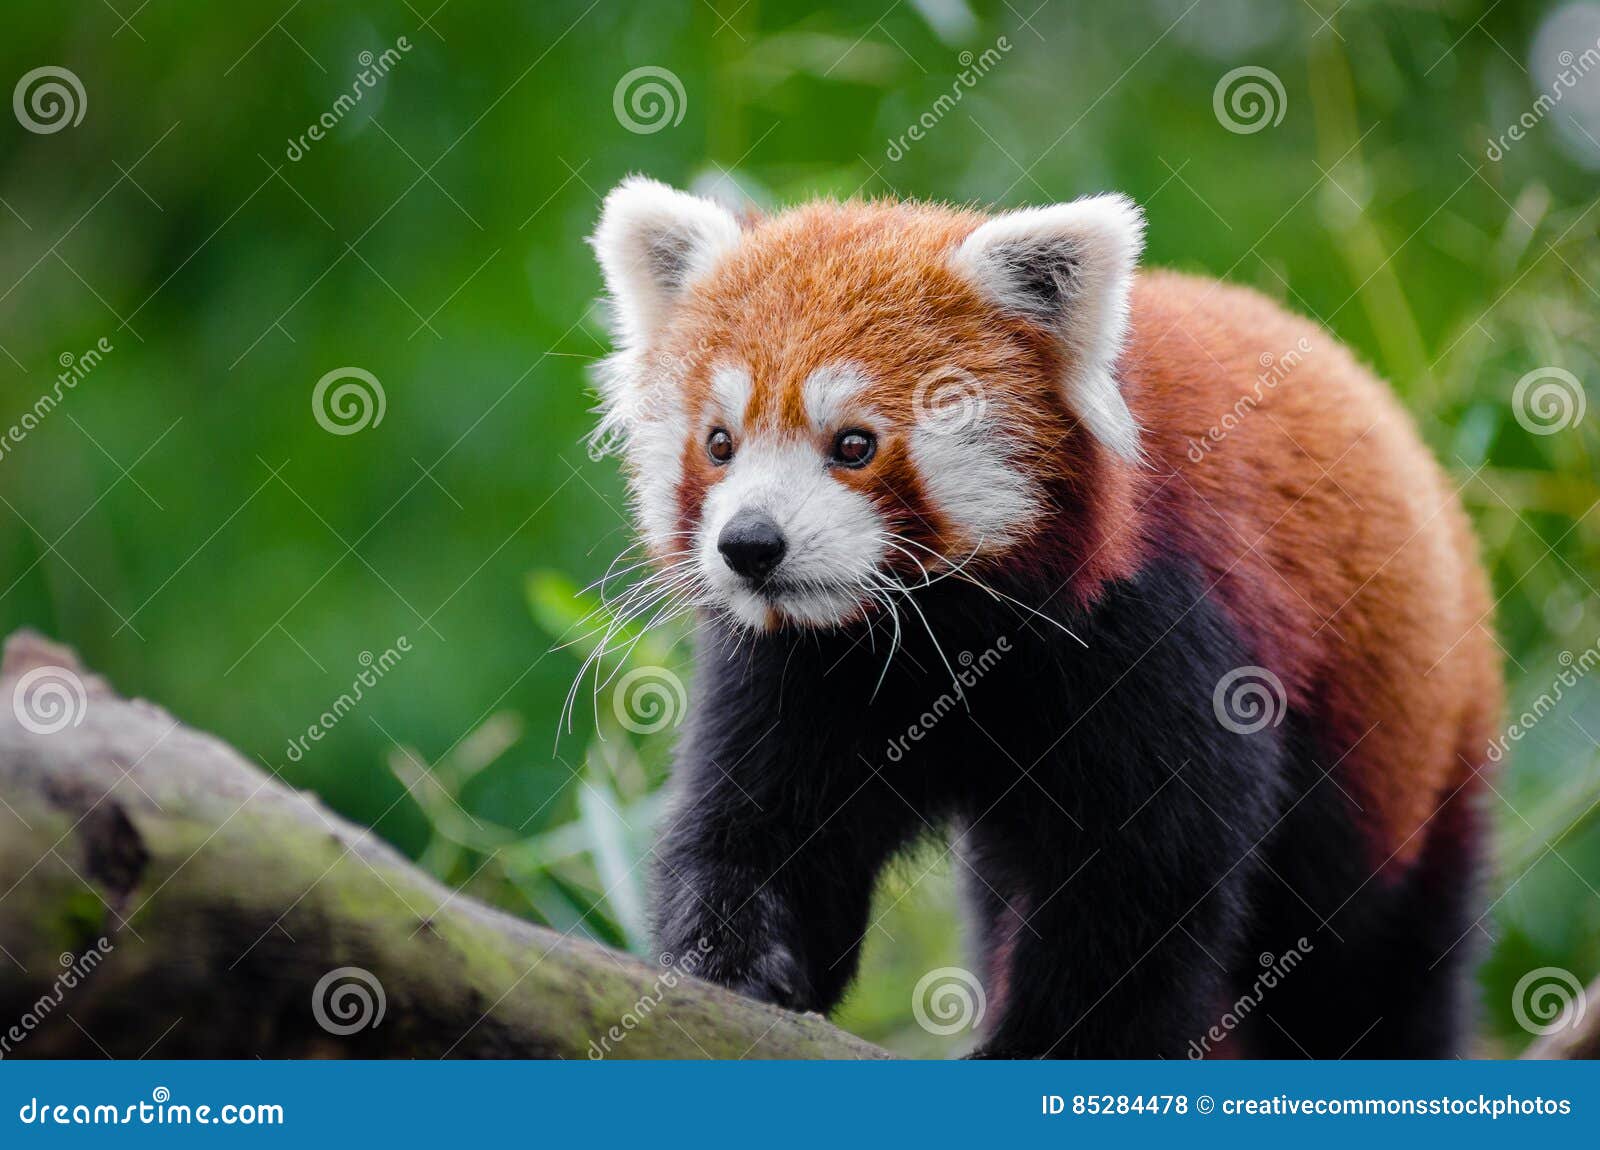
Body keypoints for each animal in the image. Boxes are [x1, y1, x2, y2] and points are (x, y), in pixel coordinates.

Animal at [584, 176, 1502, 1058]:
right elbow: (764, 828)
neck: (942, 636)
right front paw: (736, 967)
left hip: (1413, 760)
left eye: (853, 445)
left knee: (1371, 966)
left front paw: (1045, 1047)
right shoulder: (802, 670)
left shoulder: (1169, 632)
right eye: (719, 444)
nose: (750, 544)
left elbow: (1144, 881)